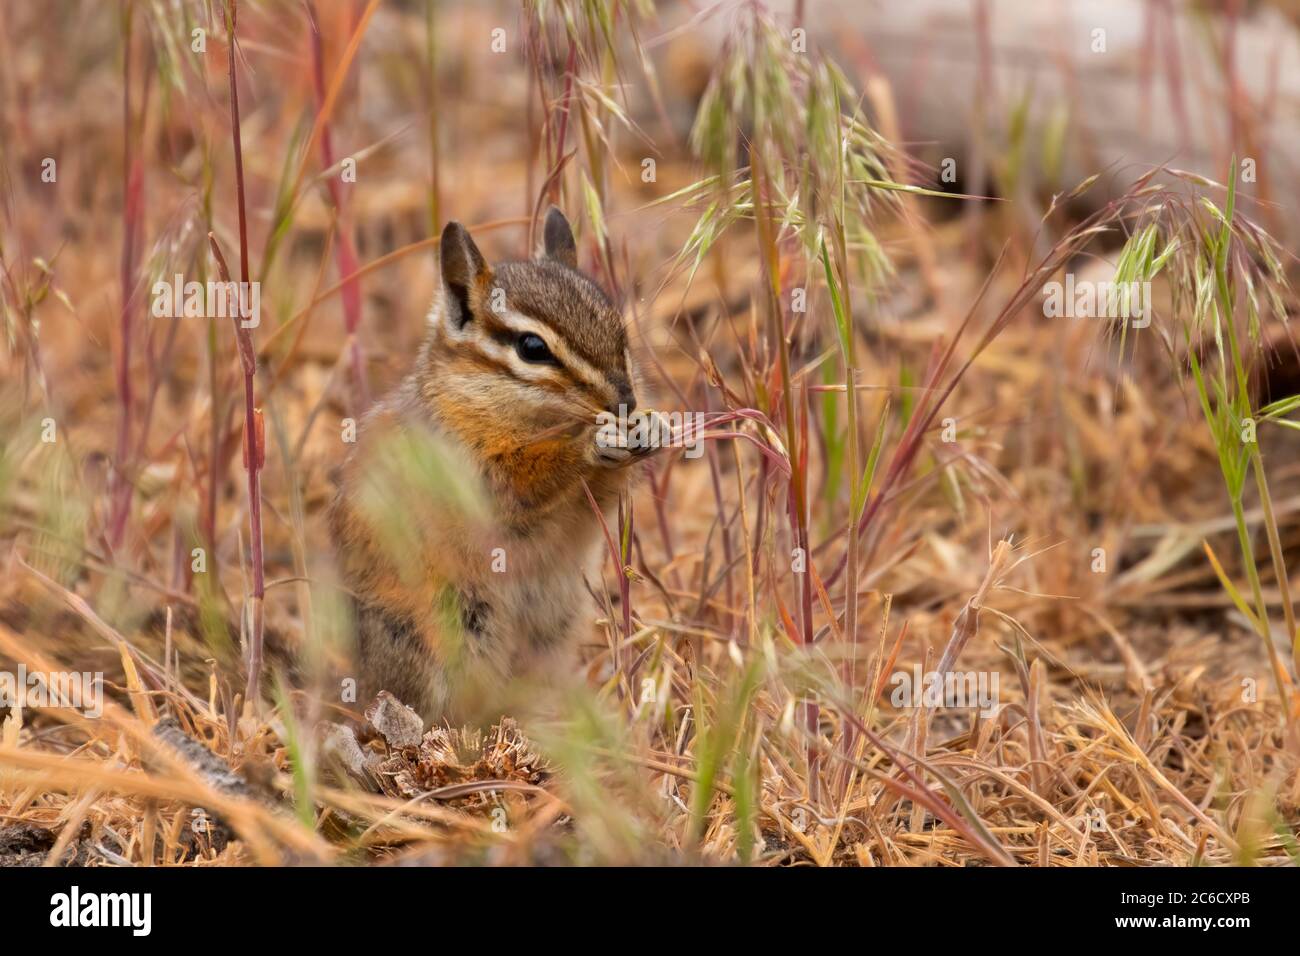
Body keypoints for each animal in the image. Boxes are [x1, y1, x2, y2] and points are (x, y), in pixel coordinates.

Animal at [328, 207, 649, 725]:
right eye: (532, 348)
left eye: (618, 329)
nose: (626, 399)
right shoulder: (468, 469)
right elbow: (518, 486)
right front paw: (589, 444)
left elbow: (598, 502)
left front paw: (644, 432)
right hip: (444, 633)